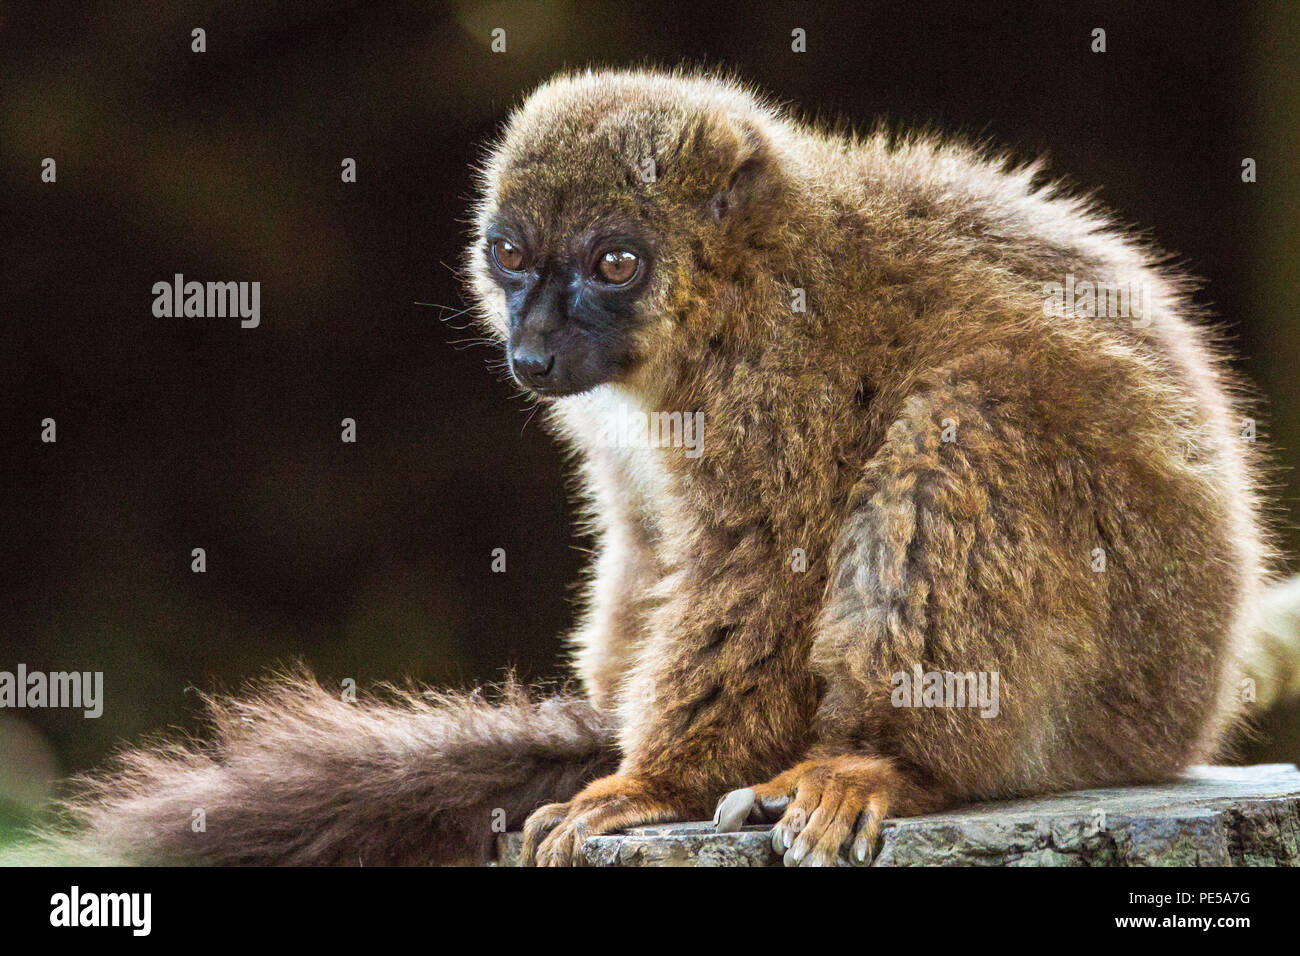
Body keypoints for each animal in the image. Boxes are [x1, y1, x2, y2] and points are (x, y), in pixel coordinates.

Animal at [10, 67, 1299, 867]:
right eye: (512, 256)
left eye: (615, 263)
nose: (534, 343)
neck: (724, 294)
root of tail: (1192, 711)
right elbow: (649, 543)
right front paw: (614, 744)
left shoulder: (780, 368)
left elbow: (768, 563)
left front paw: (650, 782)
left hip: (1118, 687)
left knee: (972, 415)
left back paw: (886, 755)